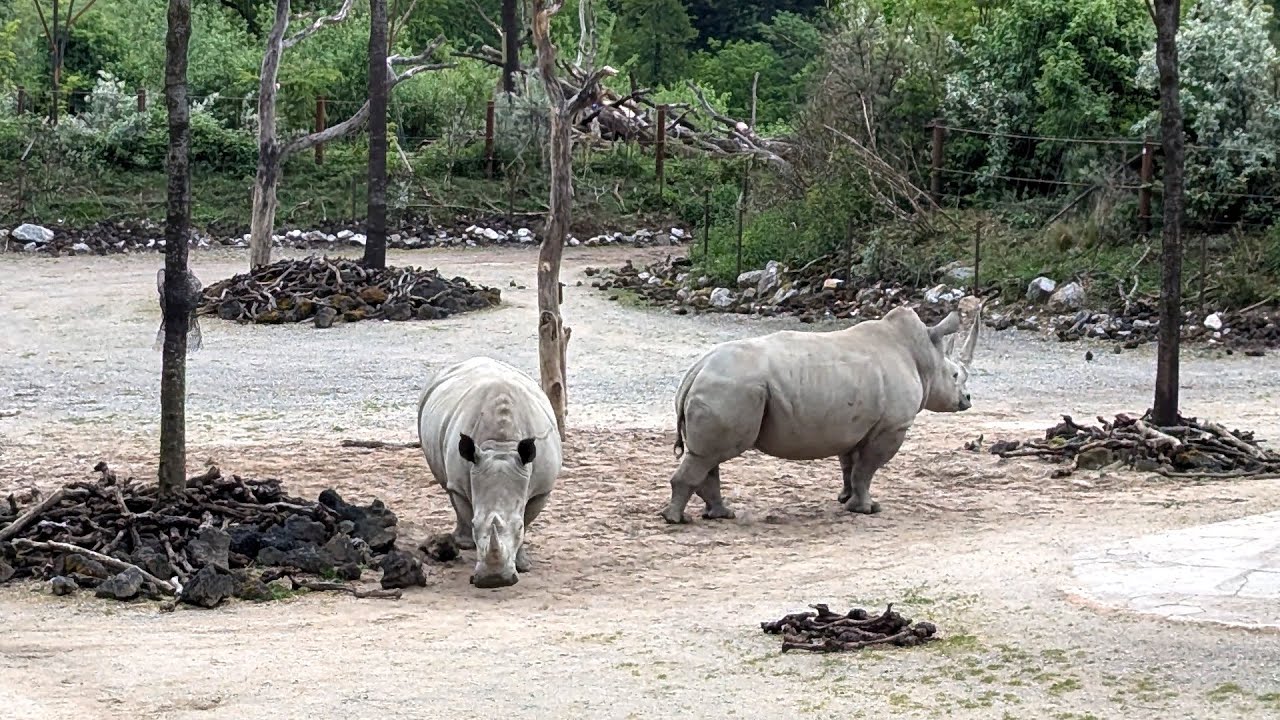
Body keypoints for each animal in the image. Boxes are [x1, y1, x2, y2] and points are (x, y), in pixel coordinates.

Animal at [417, 356, 563, 588]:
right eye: (475, 526)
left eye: (518, 527)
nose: (494, 581)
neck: (502, 447)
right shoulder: (461, 481)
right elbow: (464, 507)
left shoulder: (542, 489)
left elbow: (527, 518)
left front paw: (523, 566)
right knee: (447, 485)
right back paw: (463, 543)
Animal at [661, 302, 983, 525]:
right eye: (956, 375)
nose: (967, 399)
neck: (923, 356)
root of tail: (696, 369)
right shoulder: (892, 426)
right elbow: (867, 468)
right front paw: (866, 509)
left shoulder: (854, 424)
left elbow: (850, 466)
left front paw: (845, 500)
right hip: (731, 389)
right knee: (710, 455)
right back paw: (678, 520)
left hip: (722, 389)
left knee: (708, 455)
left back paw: (720, 514)